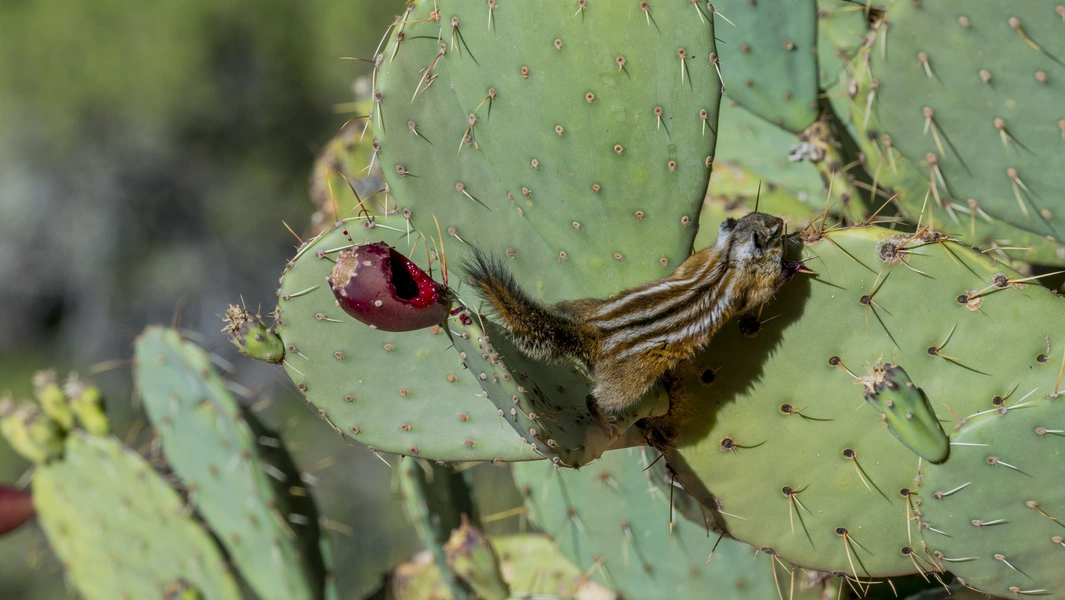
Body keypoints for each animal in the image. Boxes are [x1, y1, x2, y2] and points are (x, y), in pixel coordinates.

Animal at [462, 212, 794, 413]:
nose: (782, 219)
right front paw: (789, 269)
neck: (728, 255)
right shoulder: (749, 283)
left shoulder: (700, 258)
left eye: (761, 215)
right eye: (774, 230)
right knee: (602, 398)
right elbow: (763, 293)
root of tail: (595, 333)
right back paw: (596, 409)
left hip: (584, 305)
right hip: (630, 383)